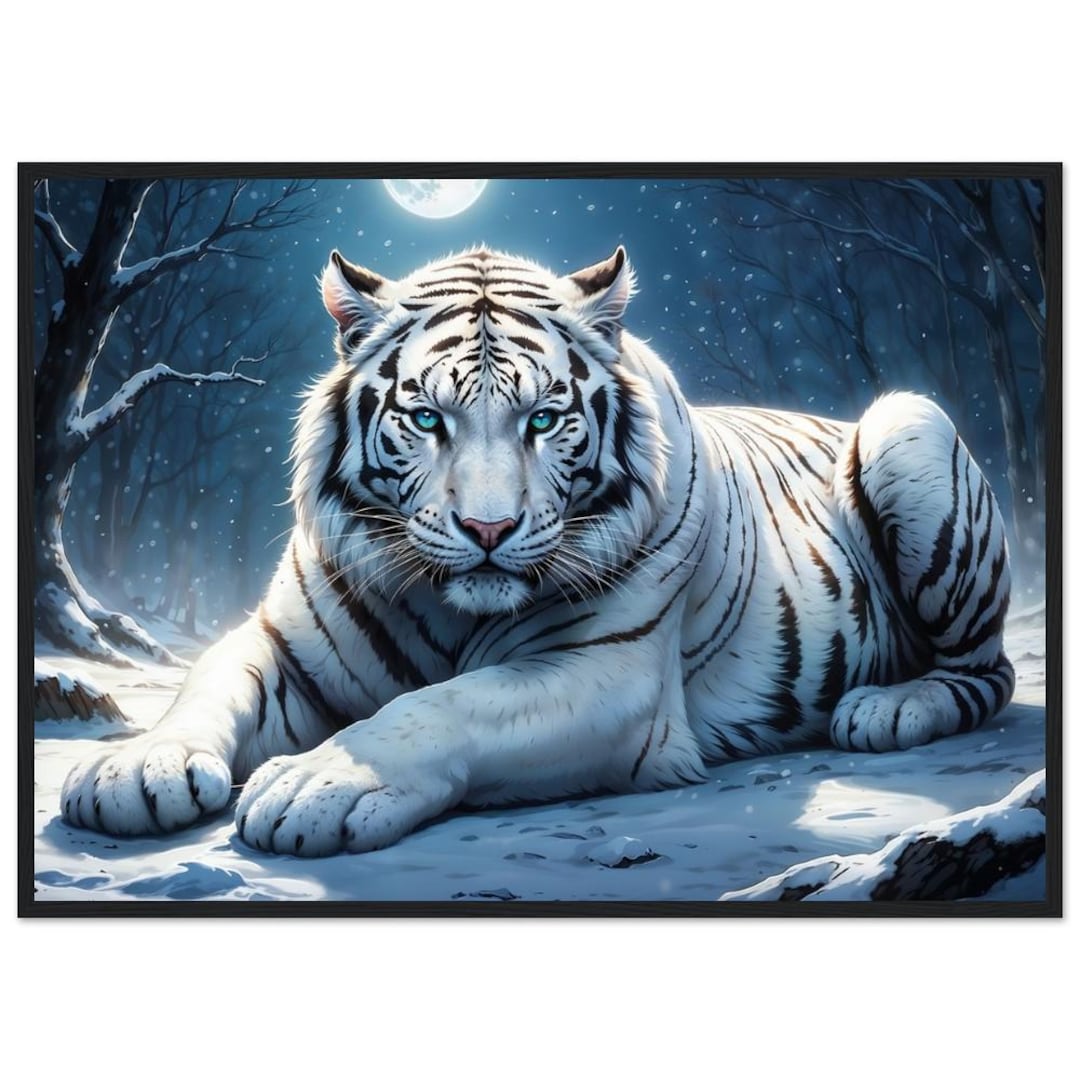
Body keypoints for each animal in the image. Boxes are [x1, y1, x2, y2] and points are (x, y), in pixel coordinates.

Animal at [60, 245, 1015, 857]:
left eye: (545, 419)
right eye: (426, 418)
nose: (488, 531)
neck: (445, 609)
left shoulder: (612, 676)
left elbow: (441, 707)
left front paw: (318, 783)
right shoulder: (283, 645)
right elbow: (207, 679)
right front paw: (133, 769)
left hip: (907, 428)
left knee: (988, 672)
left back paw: (887, 709)